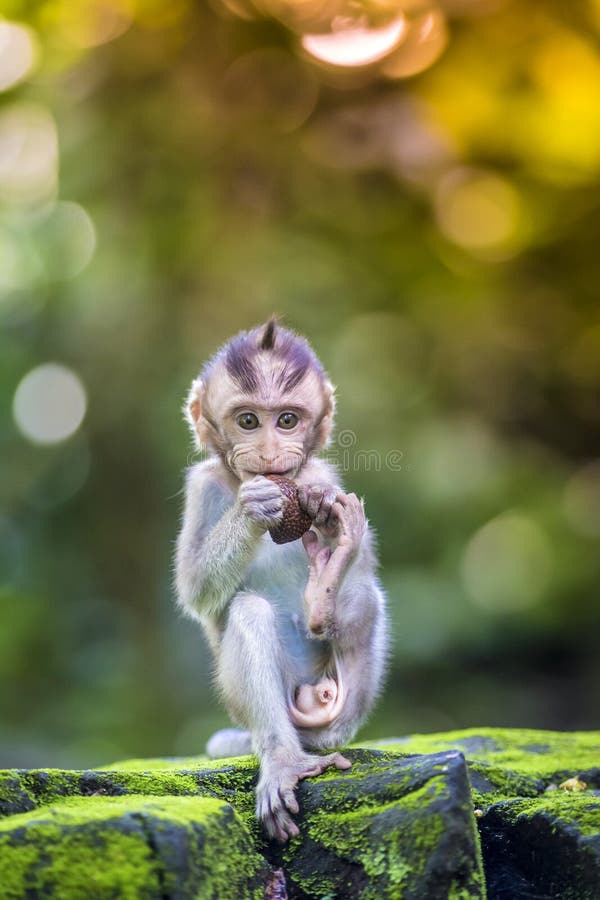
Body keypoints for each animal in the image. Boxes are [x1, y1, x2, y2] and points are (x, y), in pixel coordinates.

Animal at [174, 319, 388, 842]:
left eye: (287, 420)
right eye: (249, 421)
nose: (270, 453)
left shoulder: (322, 474)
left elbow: (364, 565)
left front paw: (336, 537)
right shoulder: (202, 485)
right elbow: (195, 590)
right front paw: (252, 509)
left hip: (352, 698)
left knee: (364, 596)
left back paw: (323, 599)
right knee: (248, 610)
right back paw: (283, 760)